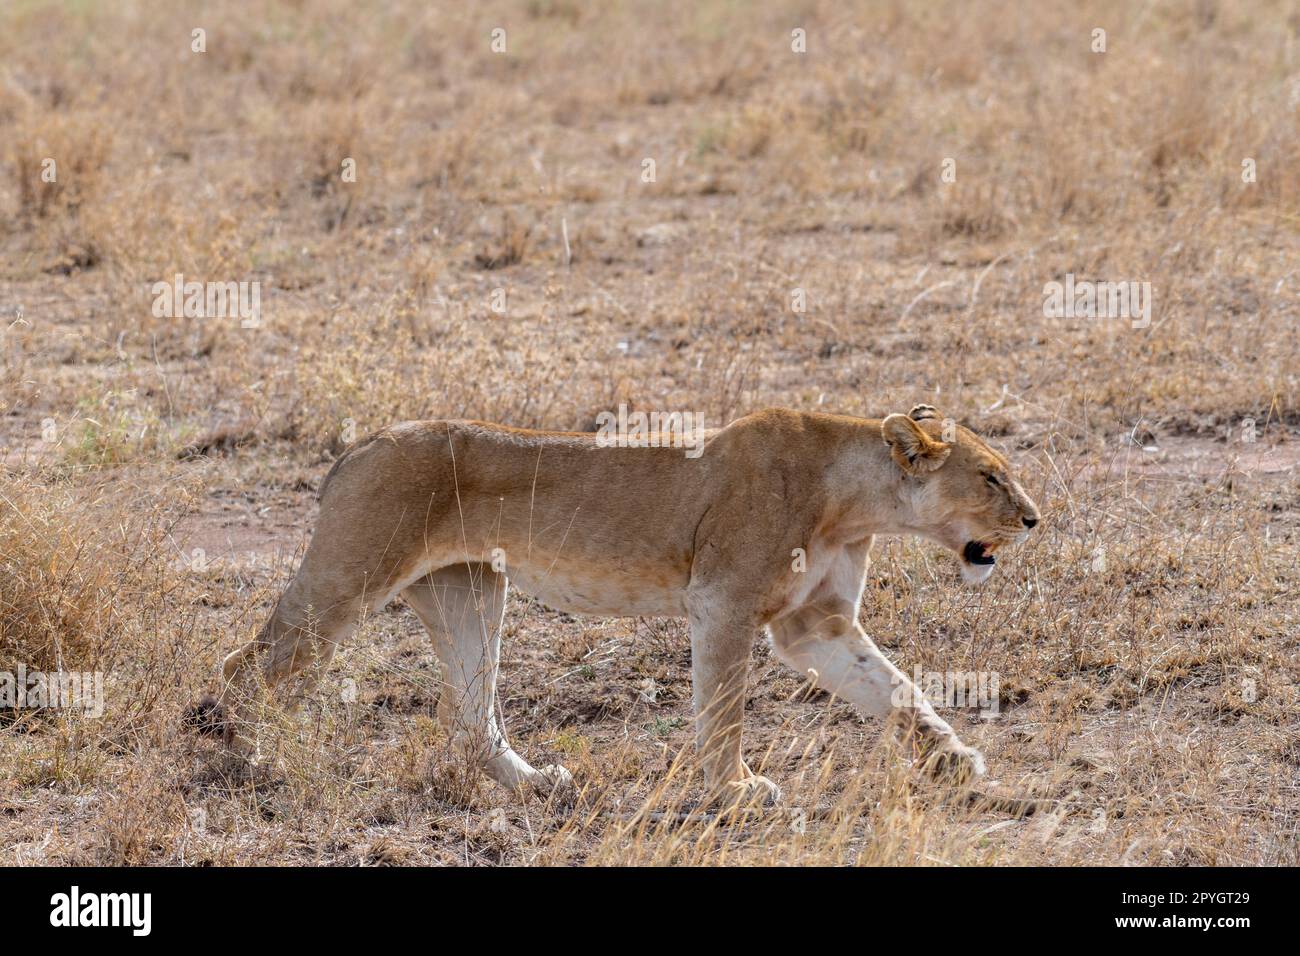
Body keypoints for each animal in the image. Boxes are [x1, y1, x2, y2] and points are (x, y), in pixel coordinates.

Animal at [190, 403, 1040, 807]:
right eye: (990, 476)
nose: (1034, 519)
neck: (854, 502)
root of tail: (357, 446)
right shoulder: (723, 600)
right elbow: (722, 708)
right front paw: (736, 792)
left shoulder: (814, 625)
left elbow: (895, 689)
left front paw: (956, 760)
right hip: (348, 578)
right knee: (240, 665)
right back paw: (250, 756)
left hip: (471, 589)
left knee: (470, 716)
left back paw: (537, 785)